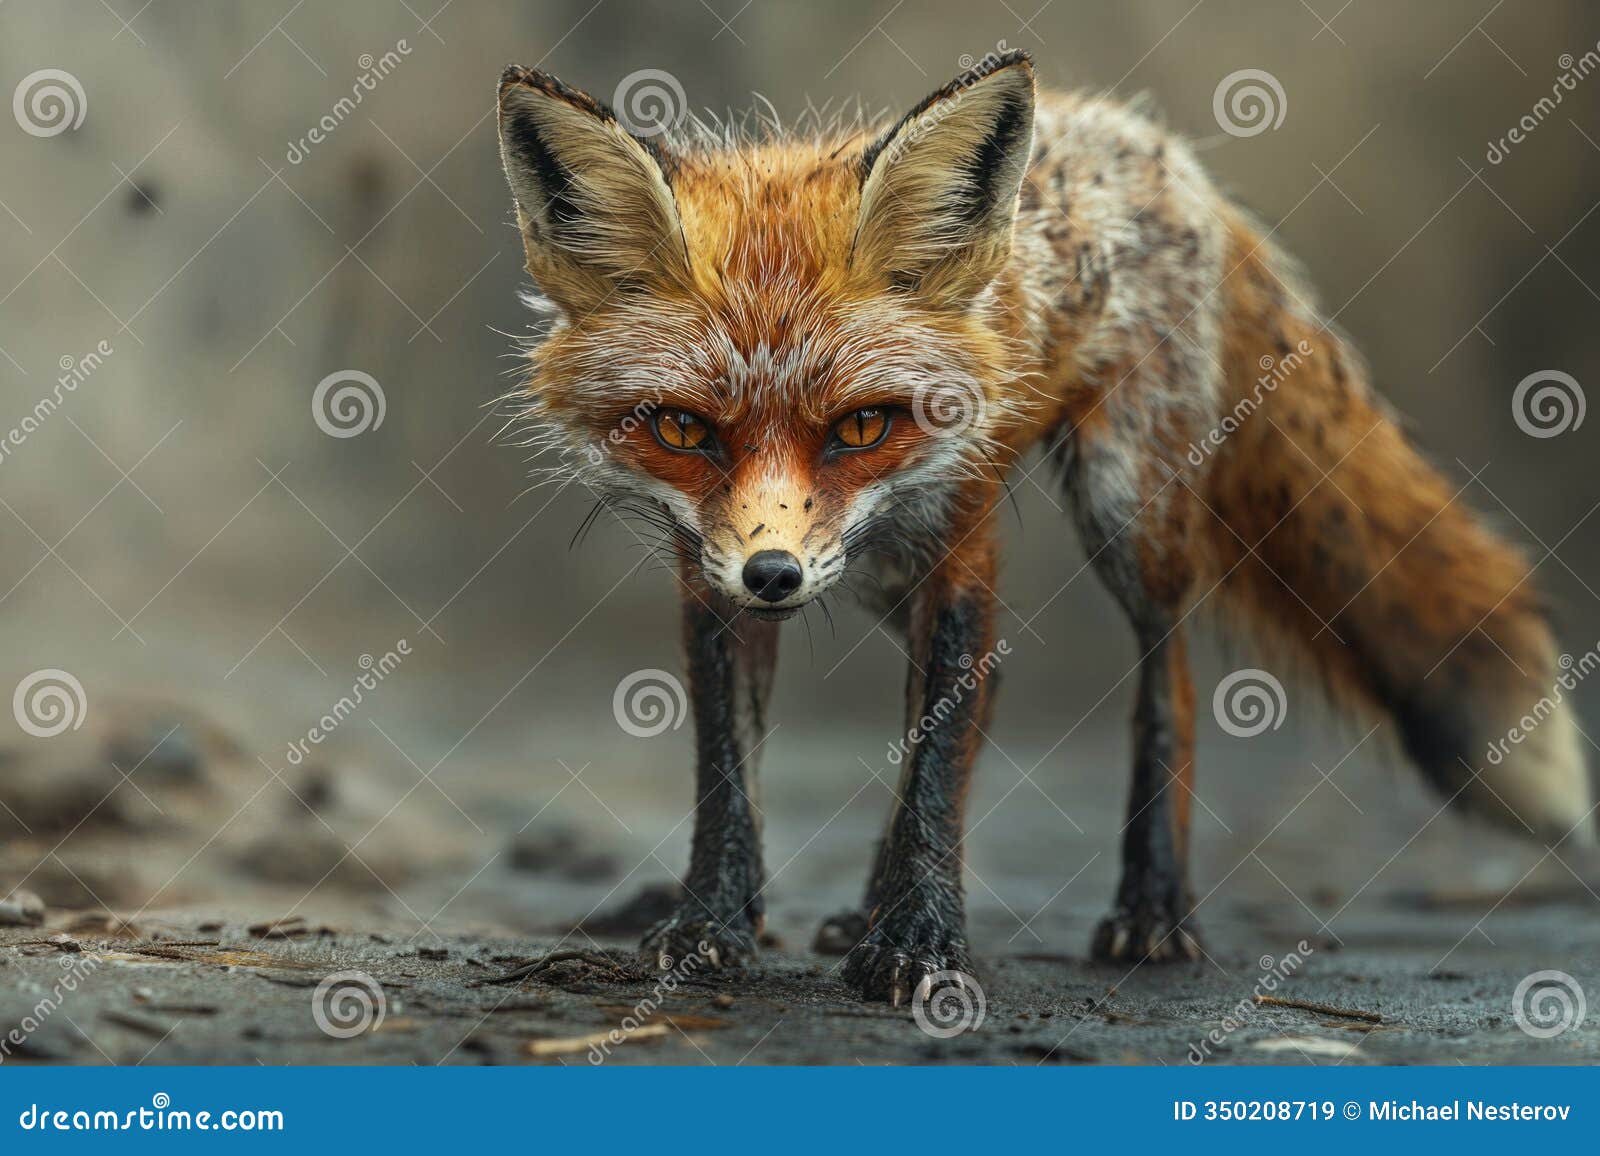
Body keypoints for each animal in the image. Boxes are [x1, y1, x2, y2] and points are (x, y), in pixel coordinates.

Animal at [493, 51, 1593, 1006]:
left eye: (861, 426)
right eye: (683, 429)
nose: (773, 576)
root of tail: (1152, 142)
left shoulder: (962, 542)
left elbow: (940, 762)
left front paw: (920, 942)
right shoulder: (709, 567)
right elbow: (733, 771)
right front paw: (713, 926)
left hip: (1127, 510)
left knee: (1167, 679)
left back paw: (1151, 909)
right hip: (882, 573)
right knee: (988, 691)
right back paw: (871, 903)